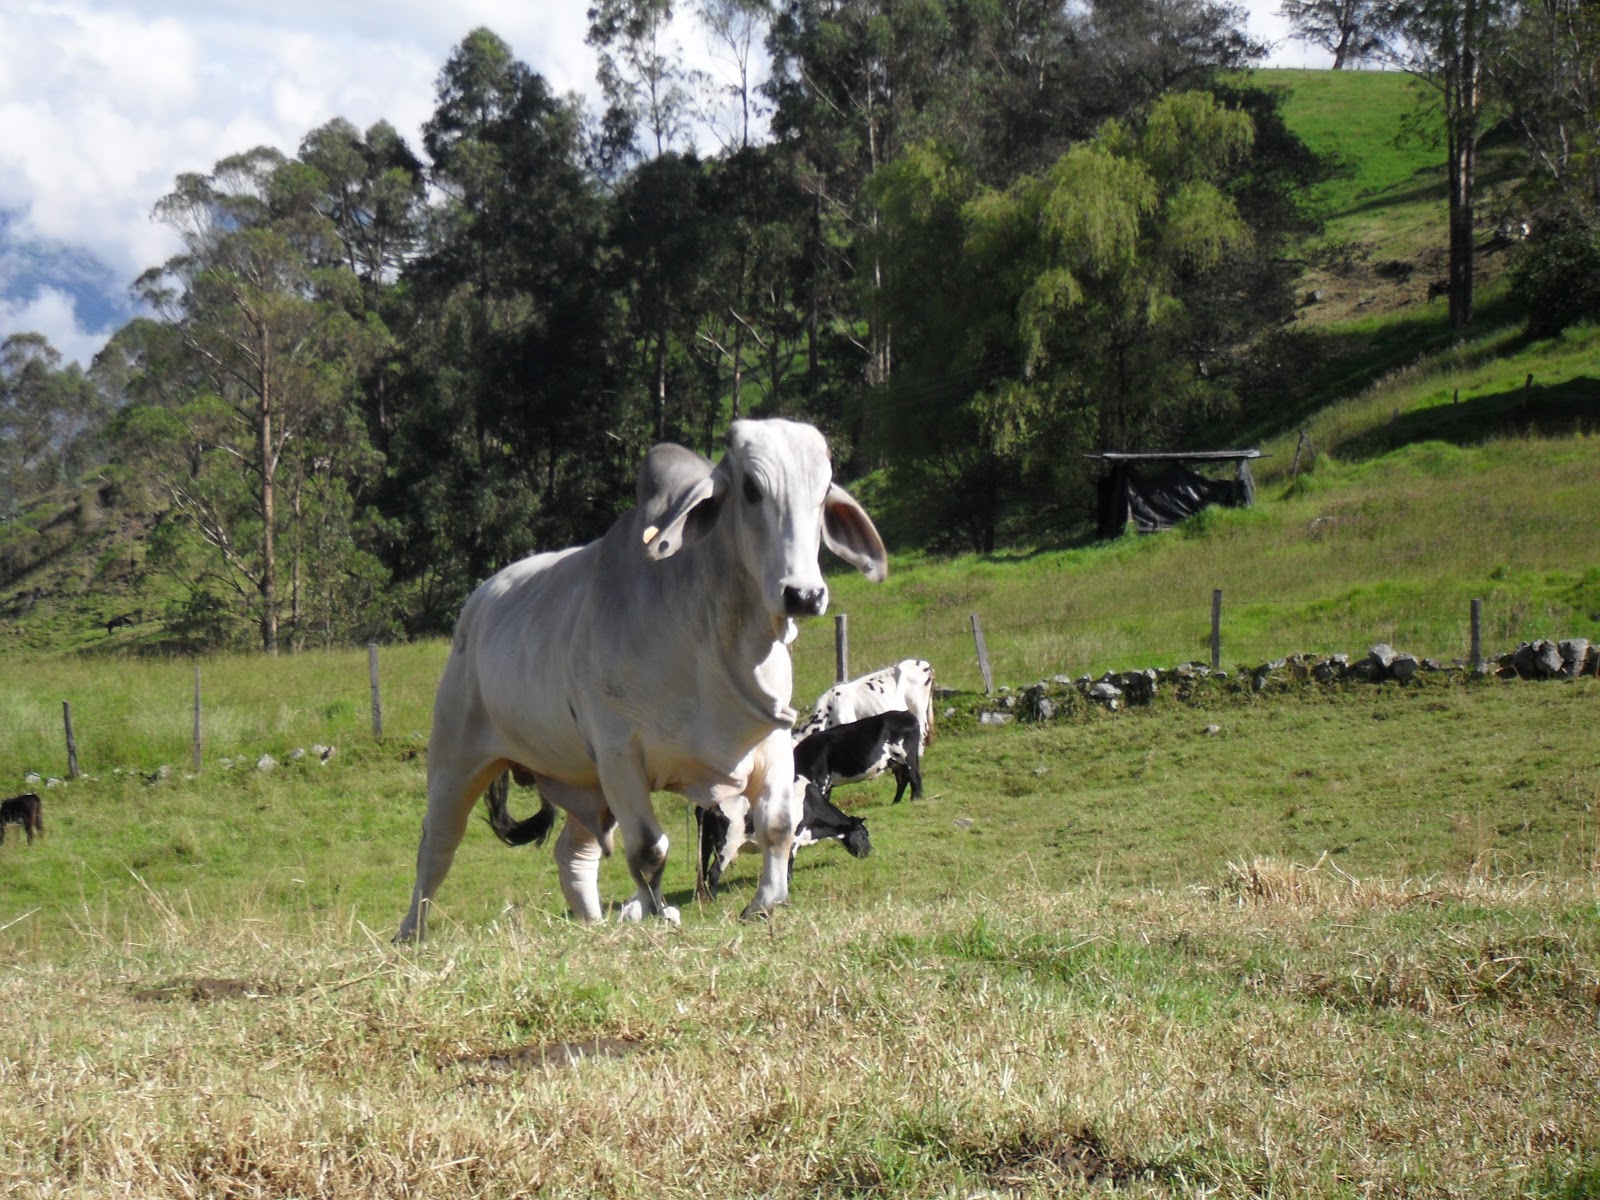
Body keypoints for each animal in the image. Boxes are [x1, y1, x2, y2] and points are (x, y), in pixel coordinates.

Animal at [696, 777, 871, 896]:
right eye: (864, 834)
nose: (870, 851)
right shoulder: (793, 838)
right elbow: (788, 862)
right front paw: (787, 885)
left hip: (705, 843)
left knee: (701, 869)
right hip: (727, 844)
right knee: (714, 872)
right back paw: (714, 901)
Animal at [794, 709, 924, 804]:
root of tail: (905, 713)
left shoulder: (820, 779)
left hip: (906, 756)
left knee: (914, 777)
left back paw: (915, 800)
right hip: (895, 762)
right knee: (902, 780)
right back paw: (895, 802)